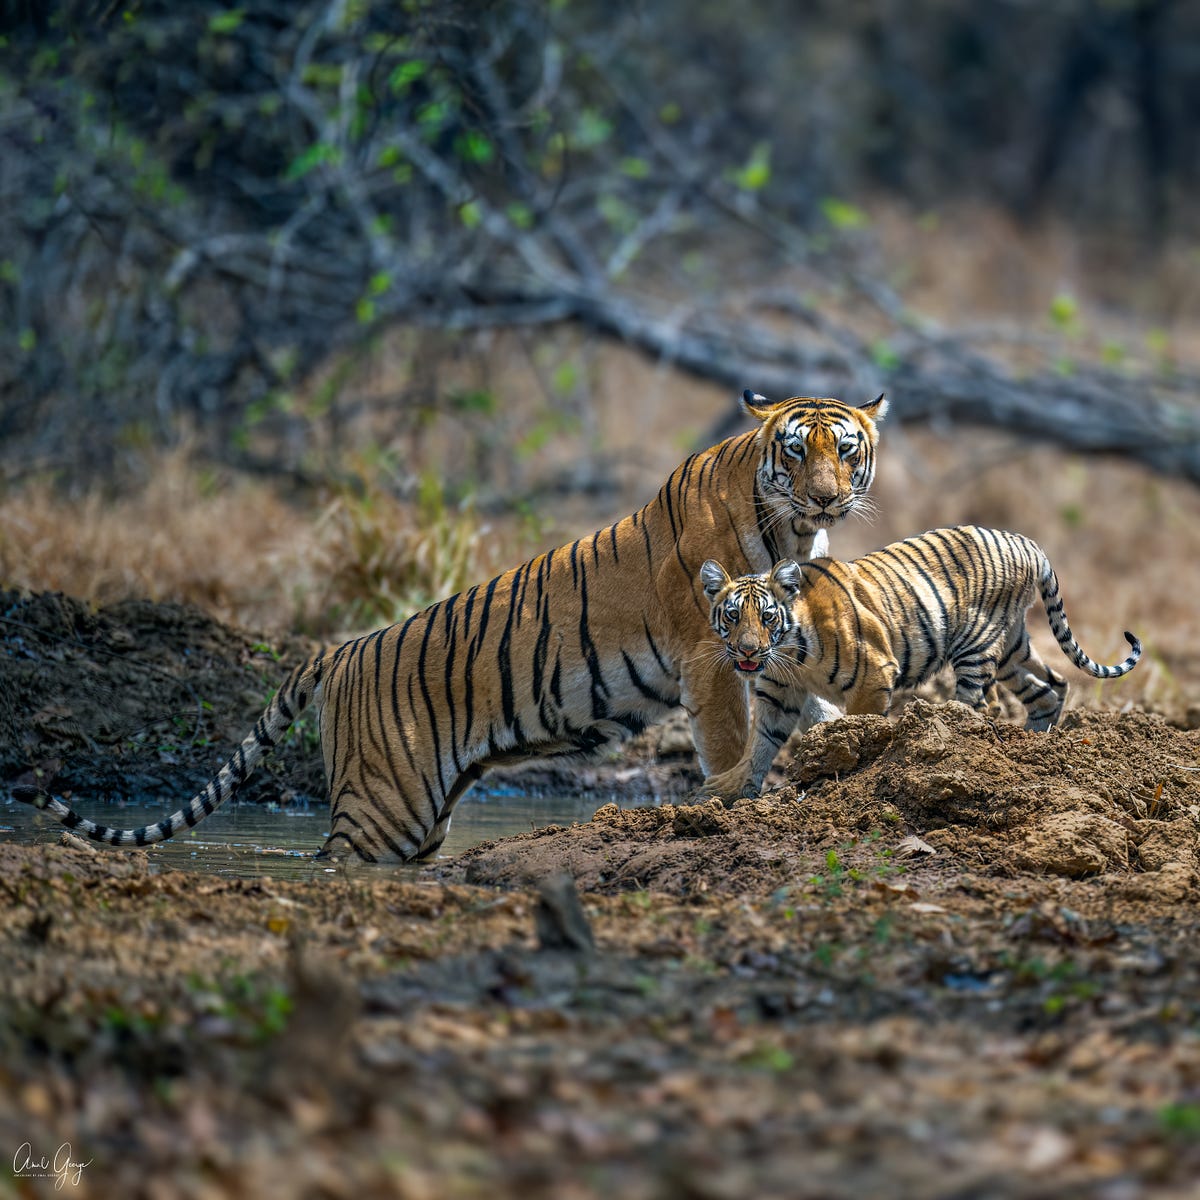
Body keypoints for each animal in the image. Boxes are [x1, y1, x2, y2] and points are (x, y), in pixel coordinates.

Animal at [14, 390, 888, 864]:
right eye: (795, 450)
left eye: (847, 450)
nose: (825, 498)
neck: (791, 531)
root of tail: (341, 650)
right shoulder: (711, 657)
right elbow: (735, 738)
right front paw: (734, 795)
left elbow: (811, 705)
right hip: (383, 804)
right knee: (334, 858)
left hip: (420, 814)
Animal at [698, 524, 1142, 802]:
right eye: (732, 616)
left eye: (767, 617)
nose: (747, 651)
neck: (789, 654)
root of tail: (1026, 542)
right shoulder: (777, 694)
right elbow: (761, 743)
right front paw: (734, 792)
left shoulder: (874, 673)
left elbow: (858, 725)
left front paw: (844, 773)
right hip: (1013, 648)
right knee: (1051, 688)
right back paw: (1037, 748)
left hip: (976, 643)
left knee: (981, 704)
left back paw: (951, 743)